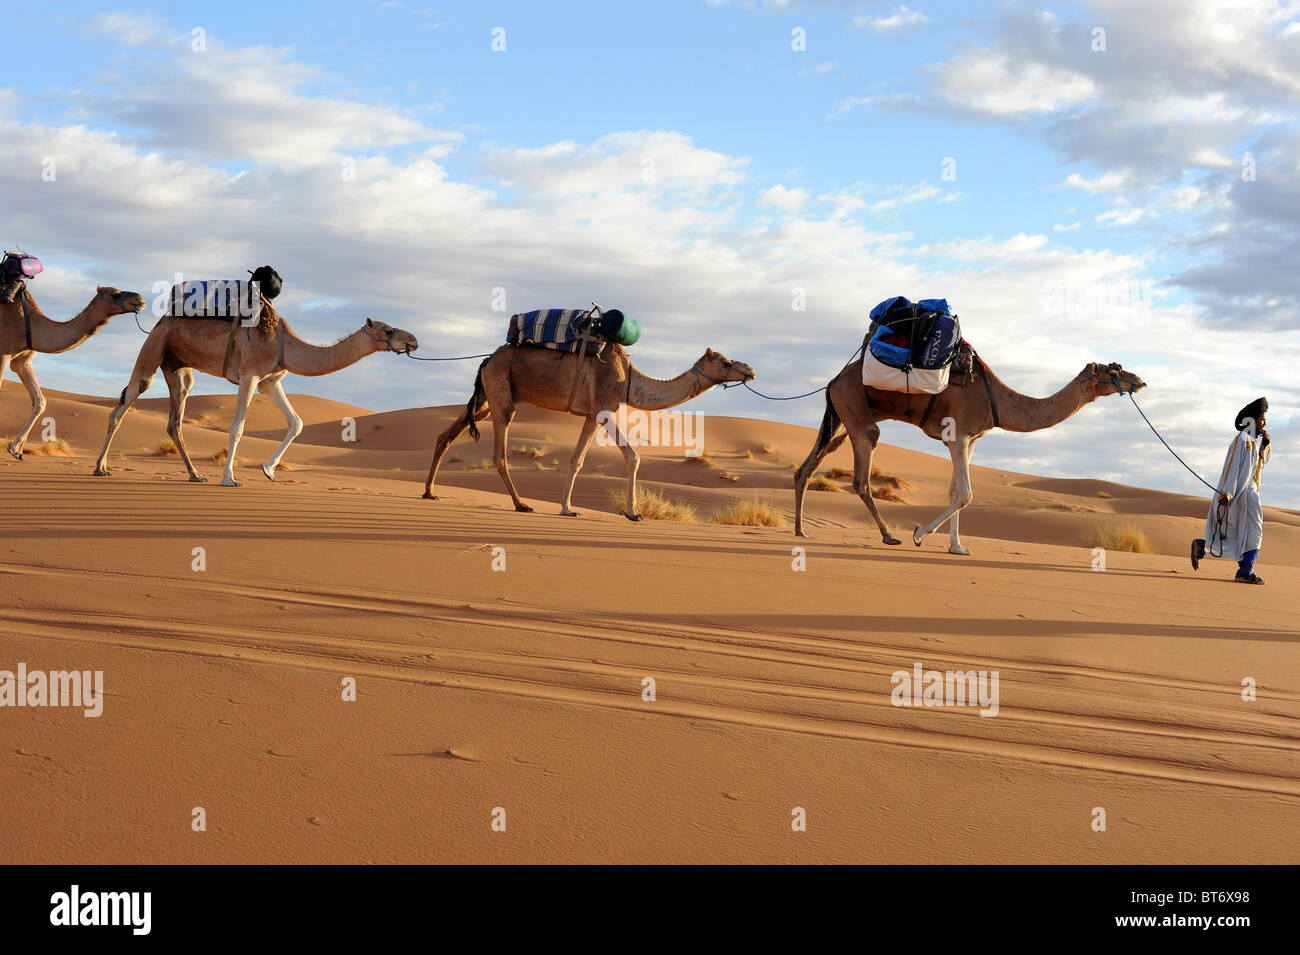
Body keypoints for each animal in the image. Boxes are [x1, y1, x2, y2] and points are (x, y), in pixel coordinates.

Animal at [0, 285, 147, 459]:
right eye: (114, 294)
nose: (140, 299)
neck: (32, 326)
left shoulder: (22, 362)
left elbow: (40, 402)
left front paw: (16, 449)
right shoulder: (3, 354)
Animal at [93, 304, 418, 486]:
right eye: (387, 329)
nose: (413, 340)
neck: (285, 345)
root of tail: (158, 322)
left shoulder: (270, 381)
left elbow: (297, 422)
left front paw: (269, 471)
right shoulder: (249, 375)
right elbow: (237, 427)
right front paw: (229, 478)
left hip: (177, 368)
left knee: (174, 420)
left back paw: (195, 475)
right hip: (153, 350)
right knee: (122, 405)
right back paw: (100, 468)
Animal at [423, 344, 755, 520]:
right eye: (726, 361)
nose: (750, 370)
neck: (630, 379)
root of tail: (487, 359)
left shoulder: (592, 415)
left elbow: (577, 460)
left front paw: (567, 508)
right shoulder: (605, 409)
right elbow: (633, 457)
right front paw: (633, 512)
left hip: (485, 399)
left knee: (445, 435)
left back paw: (429, 492)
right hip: (502, 397)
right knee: (499, 454)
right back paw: (521, 504)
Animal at [793, 352, 1146, 553]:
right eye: (1114, 371)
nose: (1140, 380)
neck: (998, 400)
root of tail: (834, 379)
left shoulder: (971, 439)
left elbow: (954, 492)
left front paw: (957, 547)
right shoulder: (958, 436)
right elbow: (965, 493)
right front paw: (920, 534)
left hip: (839, 416)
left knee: (808, 465)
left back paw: (800, 530)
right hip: (854, 406)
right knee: (861, 475)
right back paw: (890, 535)